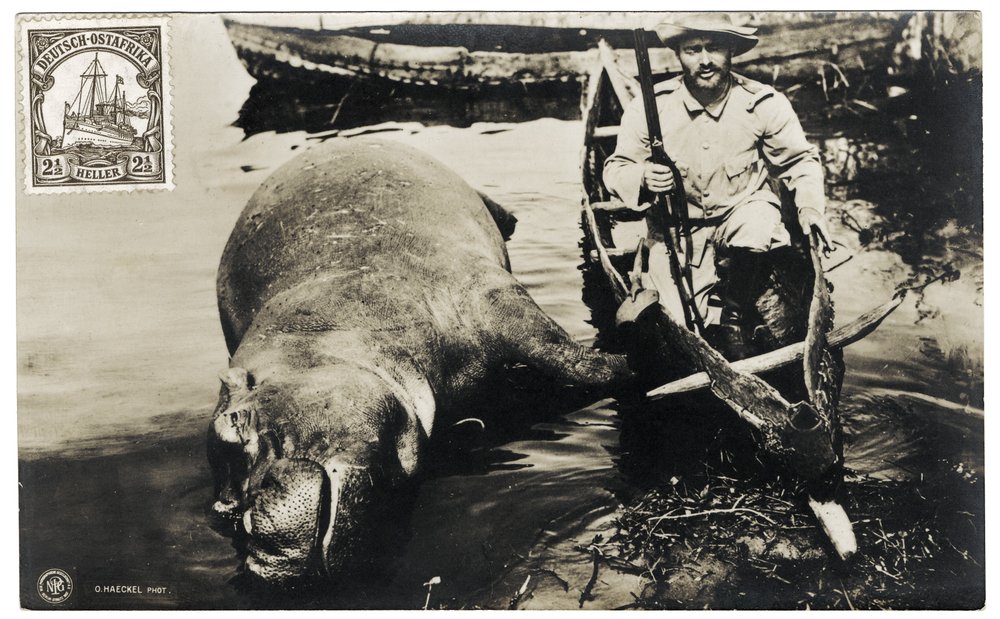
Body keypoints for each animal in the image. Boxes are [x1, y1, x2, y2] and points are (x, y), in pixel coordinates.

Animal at [207, 139, 633, 587]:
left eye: (234, 421)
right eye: (226, 506)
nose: (245, 527)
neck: (325, 336)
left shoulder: (489, 294)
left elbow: (565, 355)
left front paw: (632, 360)